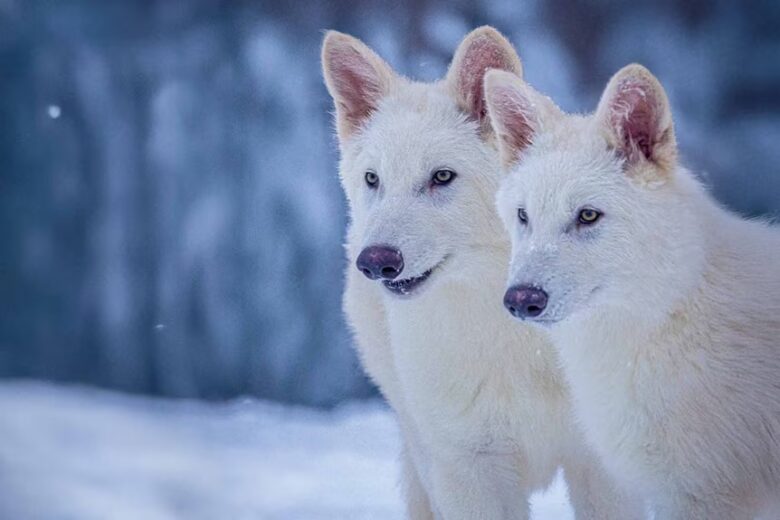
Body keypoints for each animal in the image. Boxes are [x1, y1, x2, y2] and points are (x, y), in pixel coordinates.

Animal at [321, 27, 642, 519]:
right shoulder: (467, 468)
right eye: (373, 179)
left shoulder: (601, 467)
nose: (375, 261)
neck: (518, 340)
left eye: (442, 177)